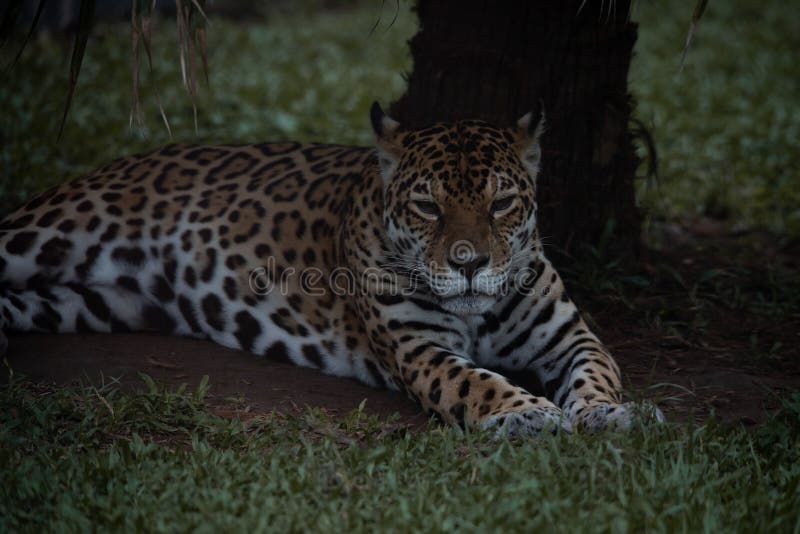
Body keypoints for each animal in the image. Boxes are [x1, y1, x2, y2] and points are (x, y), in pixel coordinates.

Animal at [0, 102, 663, 435]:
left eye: (502, 203)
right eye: (428, 207)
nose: (470, 265)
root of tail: (125, 160)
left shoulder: (570, 337)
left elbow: (597, 372)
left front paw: (609, 412)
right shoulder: (419, 350)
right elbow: (475, 380)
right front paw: (524, 412)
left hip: (83, 303)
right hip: (46, 231)